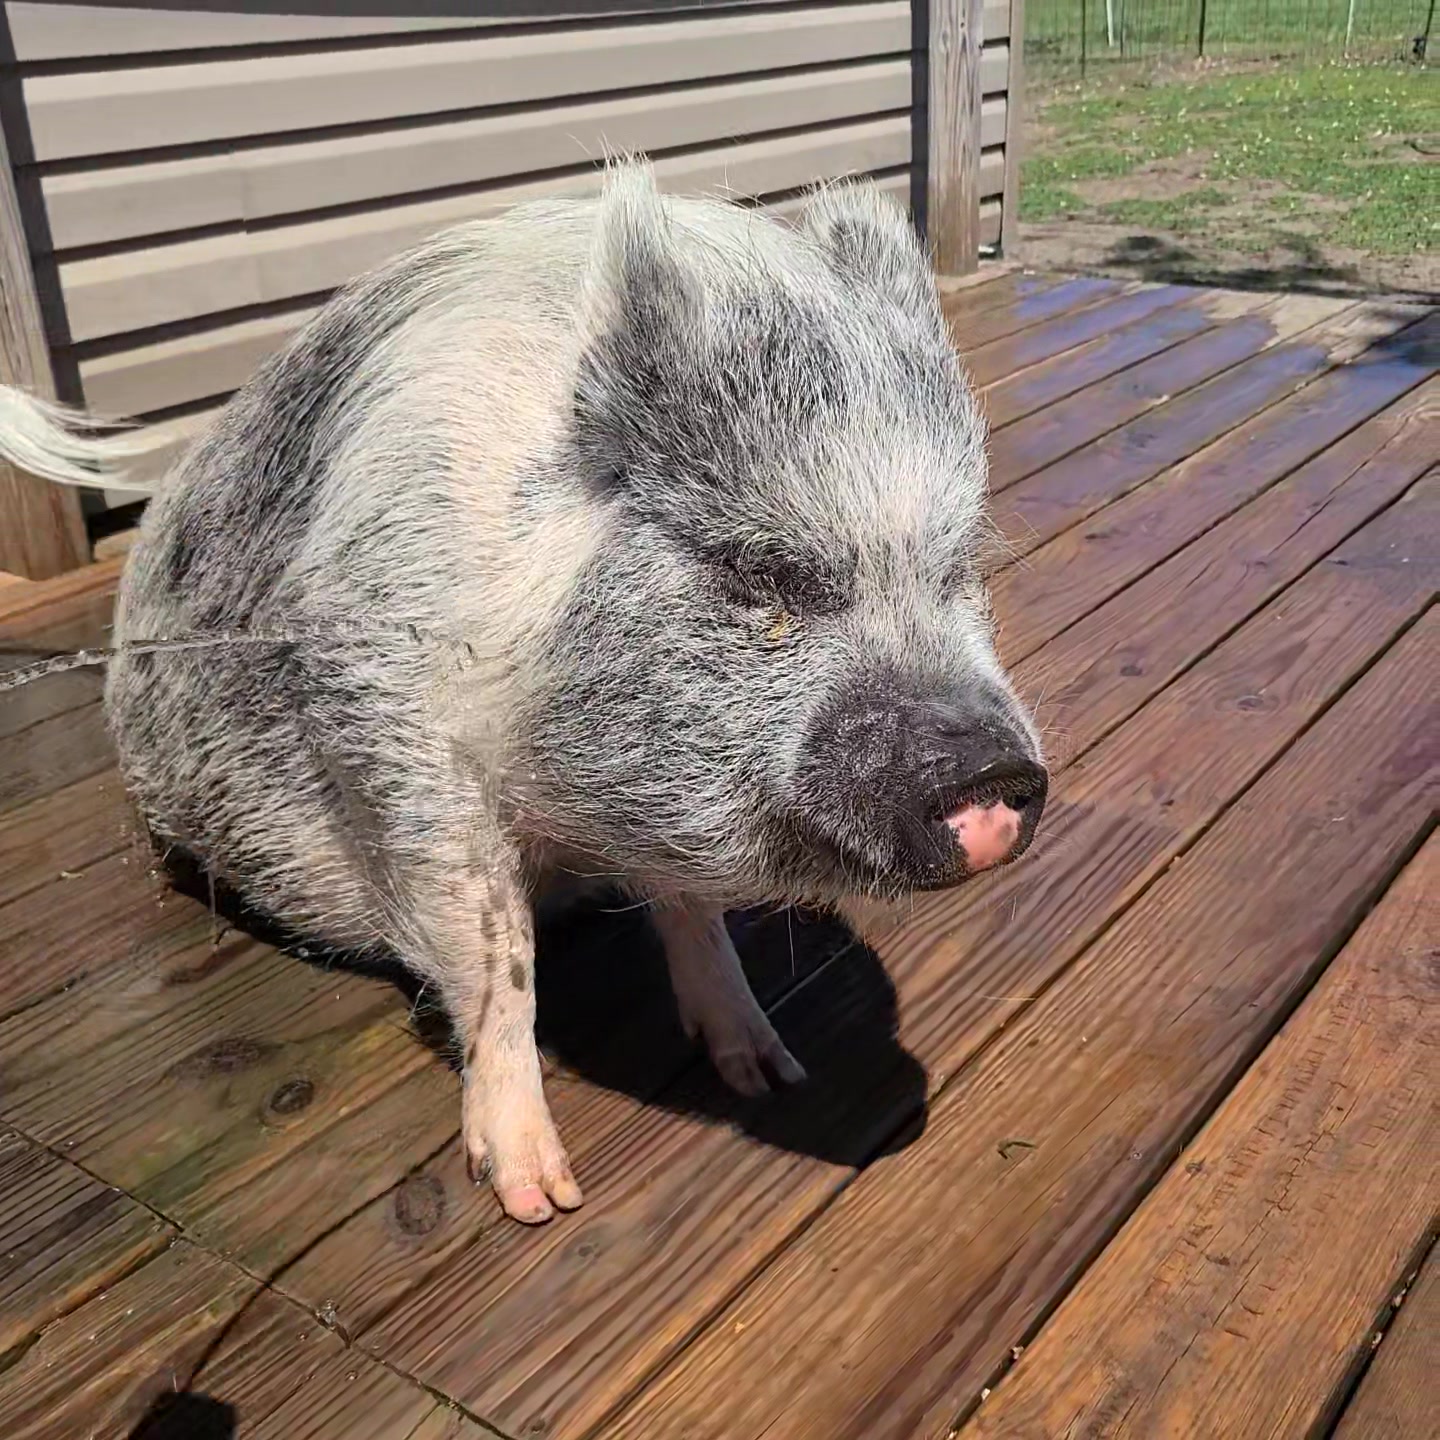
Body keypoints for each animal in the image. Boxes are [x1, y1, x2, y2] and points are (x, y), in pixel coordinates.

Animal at [1, 160, 1047, 1224]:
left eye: (959, 565)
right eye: (759, 572)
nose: (993, 775)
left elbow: (692, 909)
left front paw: (770, 1073)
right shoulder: (388, 717)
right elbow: (496, 952)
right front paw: (539, 1198)